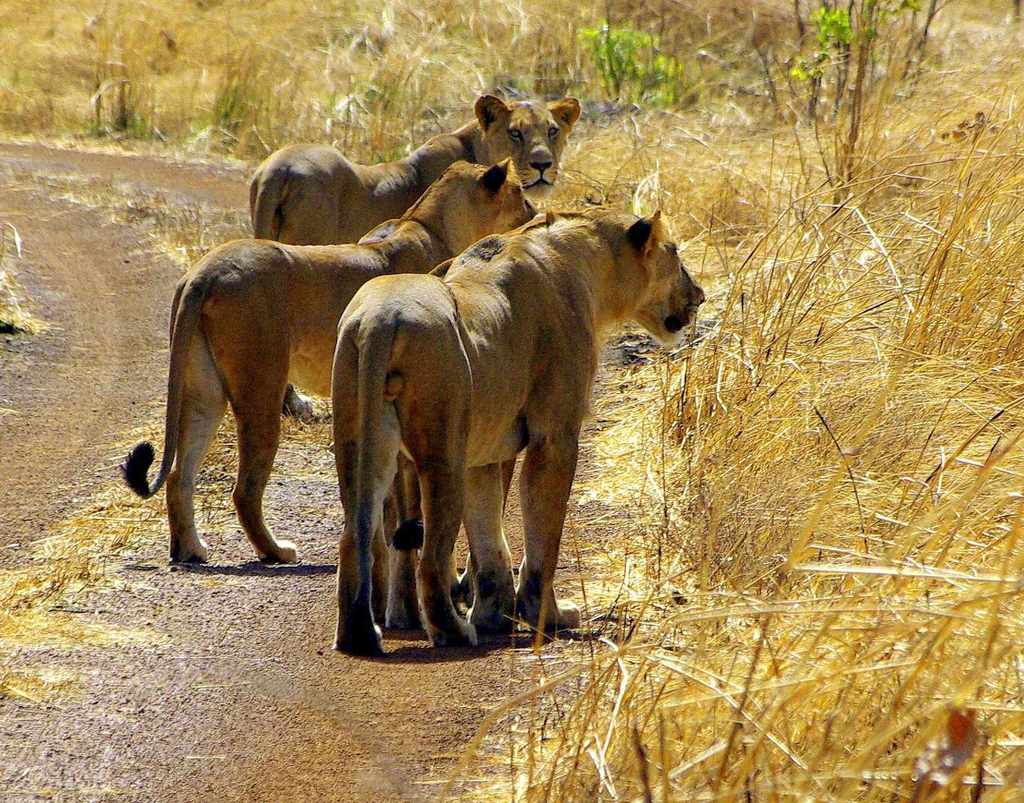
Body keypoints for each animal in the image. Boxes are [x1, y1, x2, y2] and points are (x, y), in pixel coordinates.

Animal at [120, 160, 535, 569]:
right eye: (518, 191)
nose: (533, 211)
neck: (431, 224)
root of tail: (203, 272)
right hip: (261, 385)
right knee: (245, 489)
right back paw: (276, 552)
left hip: (204, 390)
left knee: (180, 474)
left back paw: (189, 548)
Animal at [330, 207, 705, 654]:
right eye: (675, 252)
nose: (700, 295)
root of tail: (380, 321)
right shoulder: (554, 437)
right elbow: (543, 534)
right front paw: (546, 615)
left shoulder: (482, 454)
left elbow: (489, 536)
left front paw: (494, 614)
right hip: (442, 453)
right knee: (432, 558)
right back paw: (455, 632)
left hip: (361, 446)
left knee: (355, 538)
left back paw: (359, 636)